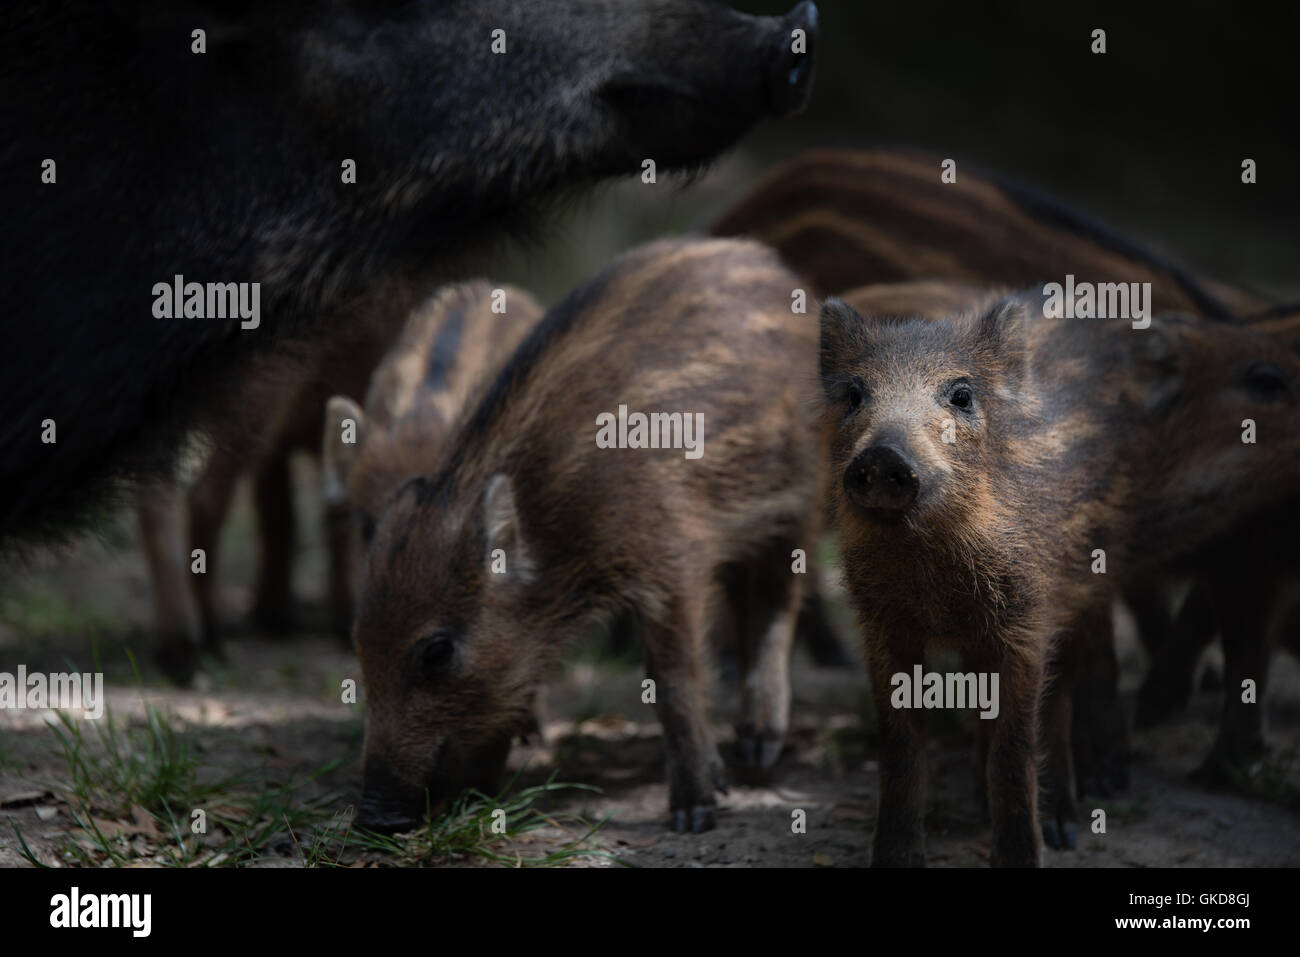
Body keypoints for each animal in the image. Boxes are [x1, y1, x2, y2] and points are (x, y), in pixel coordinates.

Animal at [352, 239, 825, 834]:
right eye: (358, 644)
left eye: (436, 652)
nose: (372, 817)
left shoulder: (670, 556)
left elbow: (673, 678)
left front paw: (695, 810)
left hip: (799, 497)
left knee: (777, 600)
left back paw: (760, 747)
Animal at [819, 293, 1300, 865]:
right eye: (854, 395)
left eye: (961, 395)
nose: (882, 454)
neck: (928, 565)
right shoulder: (882, 626)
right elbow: (899, 747)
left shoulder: (1030, 618)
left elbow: (1018, 744)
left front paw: (1035, 848)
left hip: (1095, 576)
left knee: (1085, 669)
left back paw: (1097, 792)